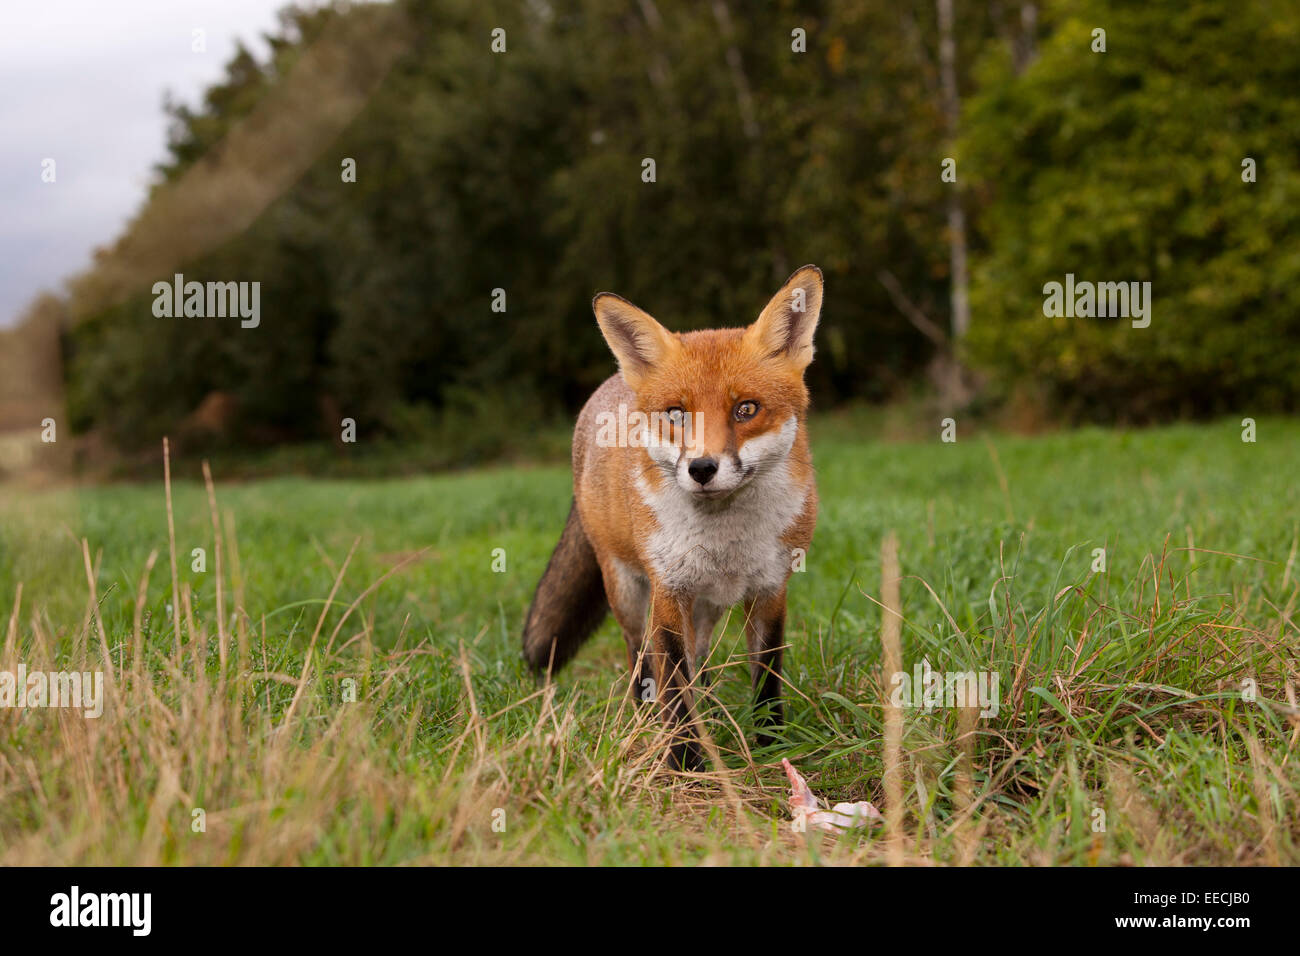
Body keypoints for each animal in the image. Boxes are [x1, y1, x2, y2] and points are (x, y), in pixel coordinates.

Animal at [522, 265, 823, 770]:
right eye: (677, 414)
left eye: (746, 409)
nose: (701, 469)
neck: (727, 539)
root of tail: (611, 383)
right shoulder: (668, 591)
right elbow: (674, 691)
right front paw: (686, 765)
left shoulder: (770, 589)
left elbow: (766, 679)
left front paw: (771, 748)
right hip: (626, 591)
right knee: (640, 660)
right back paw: (647, 722)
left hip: (706, 607)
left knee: (699, 663)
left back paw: (712, 714)